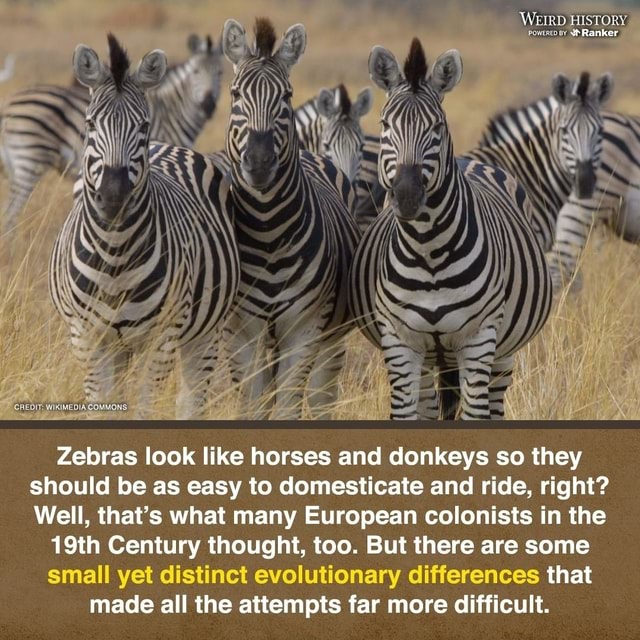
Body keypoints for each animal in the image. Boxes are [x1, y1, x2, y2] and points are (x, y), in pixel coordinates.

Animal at [0, 33, 223, 231]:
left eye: (220, 73)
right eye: (195, 72)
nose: (208, 106)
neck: (170, 111)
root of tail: (7, 105)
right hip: (30, 159)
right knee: (10, 215)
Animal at [49, 35, 239, 419]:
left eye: (143, 126)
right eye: (90, 125)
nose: (113, 196)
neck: (114, 253)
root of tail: (169, 147)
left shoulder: (163, 337)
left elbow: (144, 408)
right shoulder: (86, 337)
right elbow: (103, 408)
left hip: (205, 332)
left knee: (191, 400)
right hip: (119, 346)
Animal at [220, 17, 360, 419]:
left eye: (286, 96)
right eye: (235, 95)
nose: (260, 162)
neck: (268, 231)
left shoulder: (304, 329)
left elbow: (287, 408)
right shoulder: (241, 333)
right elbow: (253, 409)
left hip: (330, 337)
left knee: (321, 396)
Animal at [348, 38, 552, 420]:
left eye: (437, 128)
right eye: (384, 125)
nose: (407, 196)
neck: (427, 249)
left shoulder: (479, 339)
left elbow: (475, 414)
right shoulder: (400, 341)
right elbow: (404, 414)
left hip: (503, 352)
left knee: (493, 406)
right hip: (432, 359)